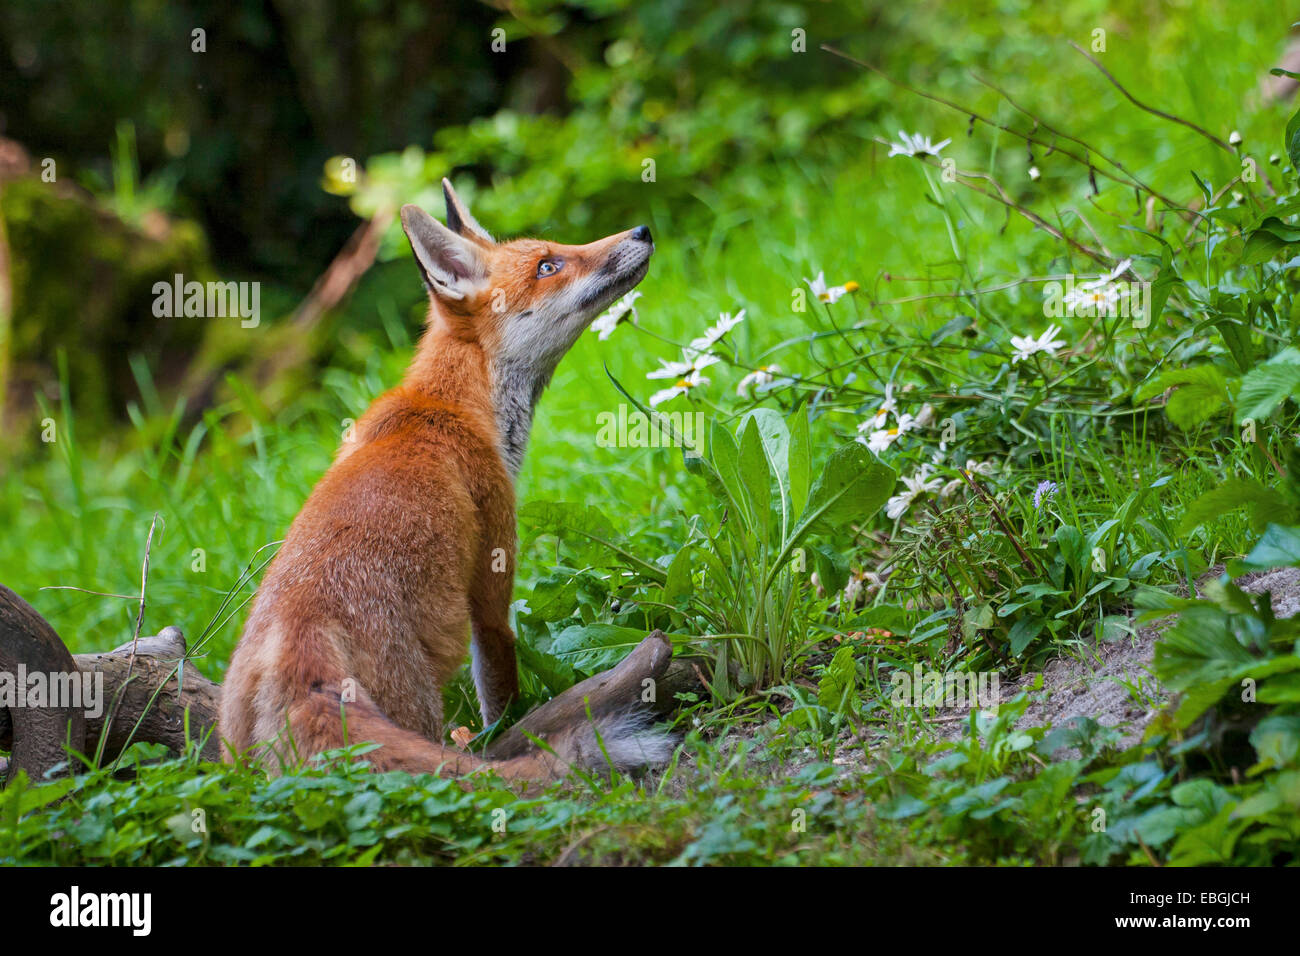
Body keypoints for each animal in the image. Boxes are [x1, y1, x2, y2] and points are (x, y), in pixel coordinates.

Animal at [219, 179, 669, 780]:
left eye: (554, 252)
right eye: (548, 266)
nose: (642, 231)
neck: (452, 407)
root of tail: (297, 652)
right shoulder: (491, 583)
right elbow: (501, 686)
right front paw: (507, 725)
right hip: (416, 703)